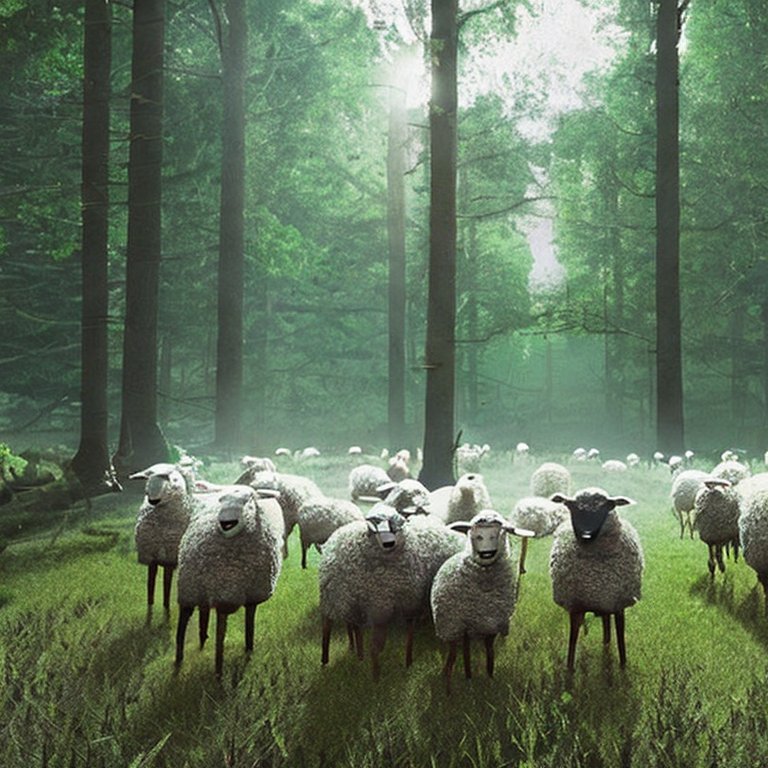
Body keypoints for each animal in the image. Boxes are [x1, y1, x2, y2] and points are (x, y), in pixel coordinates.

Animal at [131, 462, 198, 613]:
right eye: (148, 479)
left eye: (173, 479)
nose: (152, 499)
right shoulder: (151, 556)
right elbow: (150, 583)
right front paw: (150, 605)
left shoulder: (169, 559)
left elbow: (167, 583)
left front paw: (166, 608)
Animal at [175, 485, 284, 676]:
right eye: (221, 500)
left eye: (249, 499)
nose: (225, 520)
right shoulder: (223, 598)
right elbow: (220, 634)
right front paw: (218, 672)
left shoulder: (251, 597)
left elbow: (249, 626)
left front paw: (249, 650)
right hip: (189, 587)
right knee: (184, 619)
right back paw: (179, 657)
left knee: (203, 612)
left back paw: (202, 639)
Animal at [430, 511, 534, 693]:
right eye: (477, 535)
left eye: (497, 533)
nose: (487, 553)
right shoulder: (459, 625)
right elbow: (458, 655)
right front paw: (458, 681)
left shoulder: (492, 625)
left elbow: (490, 652)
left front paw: (490, 678)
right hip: (454, 627)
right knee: (454, 652)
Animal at [549, 487, 643, 670]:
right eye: (572, 507)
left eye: (606, 507)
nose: (586, 535)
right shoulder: (576, 605)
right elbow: (573, 639)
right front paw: (569, 668)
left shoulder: (619, 604)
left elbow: (621, 638)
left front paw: (623, 666)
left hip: (607, 601)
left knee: (607, 621)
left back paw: (606, 642)